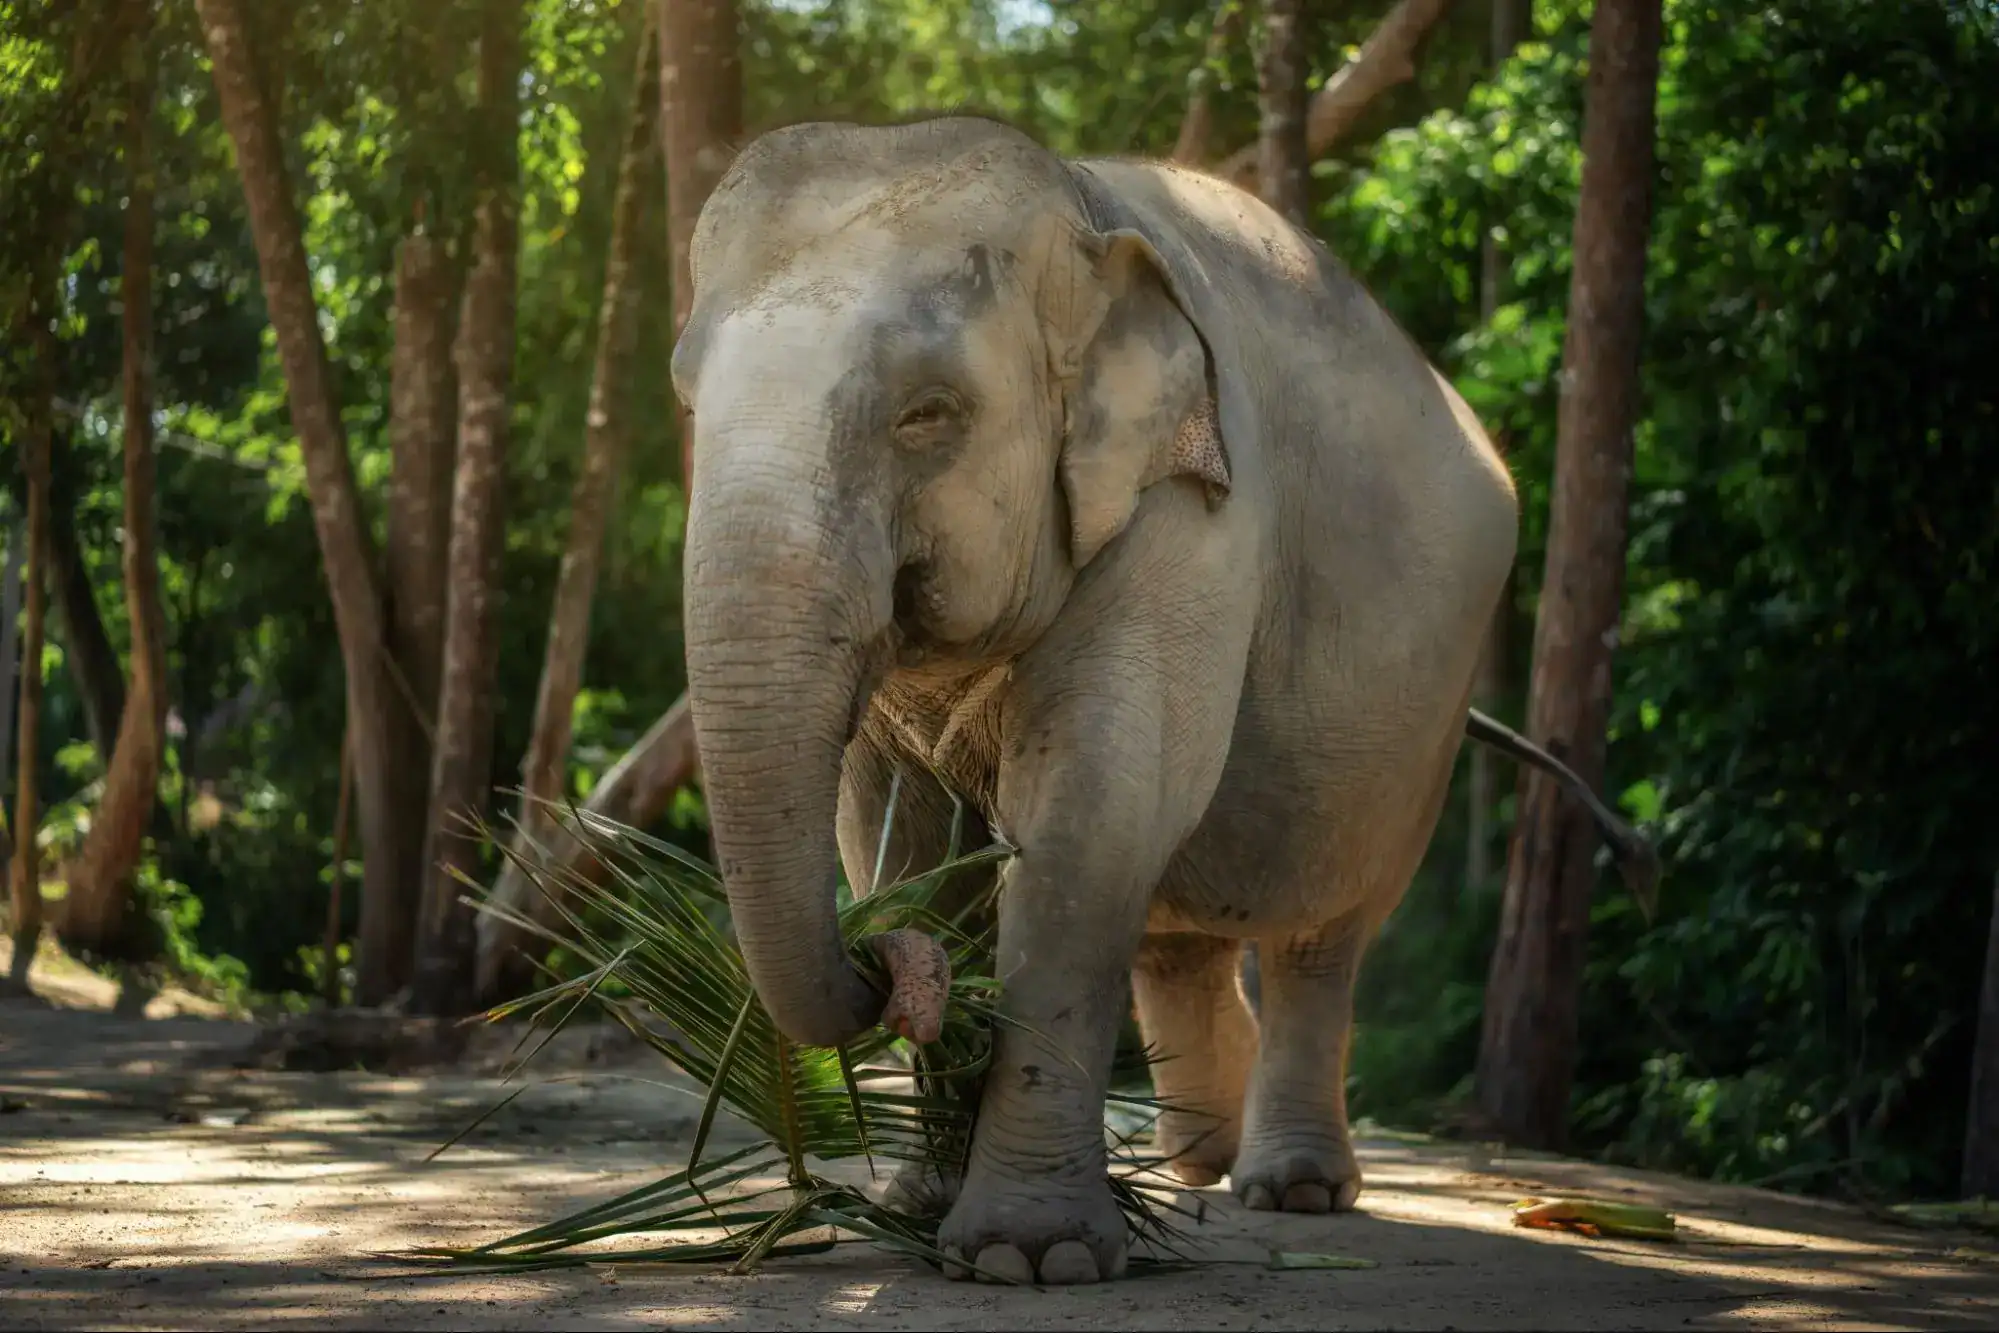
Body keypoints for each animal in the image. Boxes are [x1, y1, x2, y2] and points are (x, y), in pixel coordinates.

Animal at [671, 113, 1652, 1286]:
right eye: (687, 404)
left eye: (926, 414)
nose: (884, 971)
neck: (1082, 213)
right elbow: (894, 840)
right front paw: (918, 1201)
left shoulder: (1193, 513)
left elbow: (1094, 807)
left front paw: (1027, 1258)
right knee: (1177, 927)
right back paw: (1194, 1163)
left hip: (1422, 721)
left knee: (1321, 932)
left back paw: (1290, 1188)